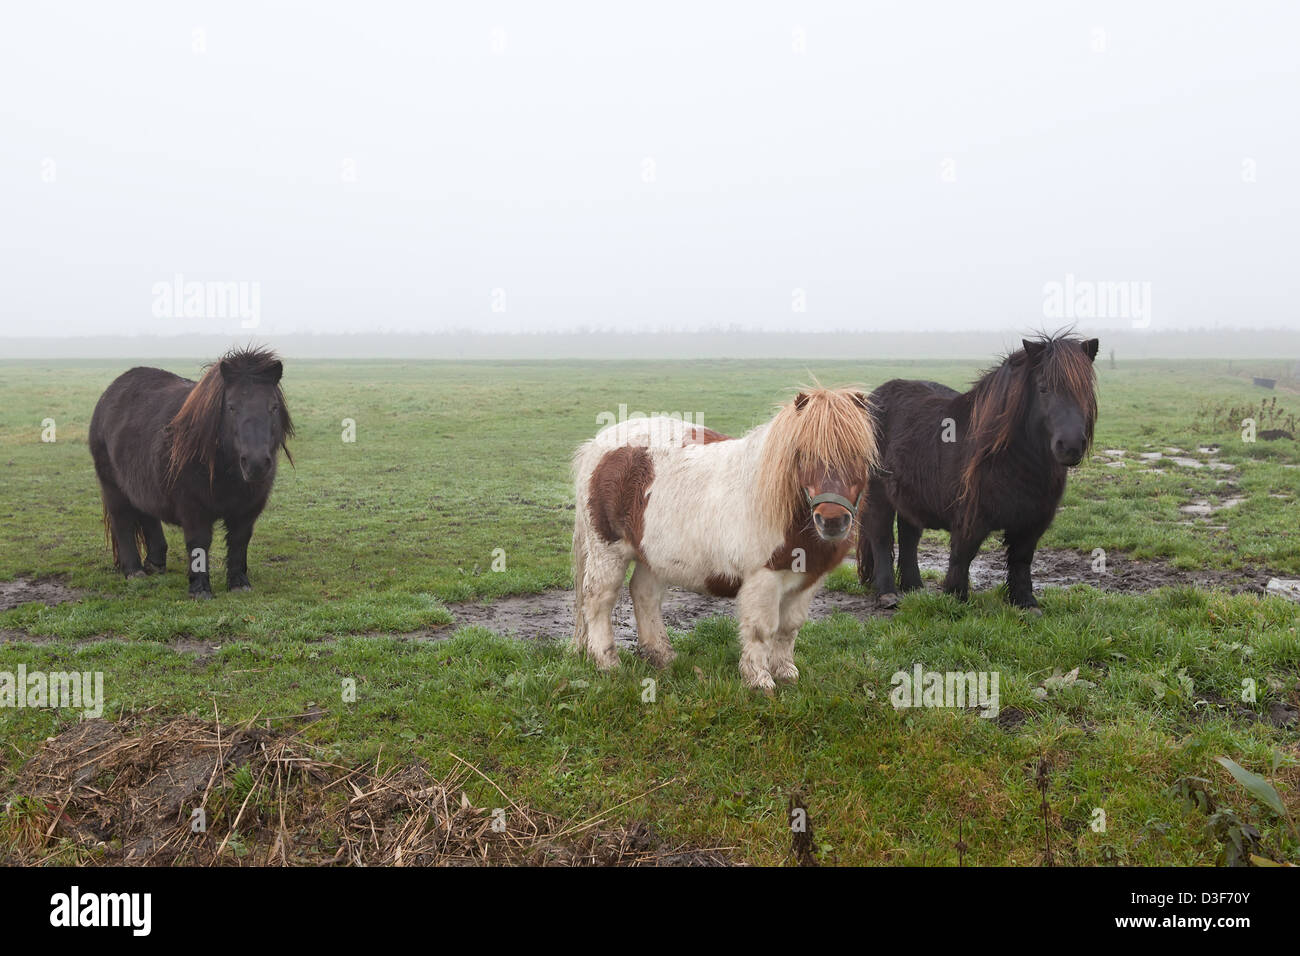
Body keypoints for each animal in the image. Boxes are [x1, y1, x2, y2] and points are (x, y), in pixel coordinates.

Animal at [88, 346, 294, 599]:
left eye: (273, 407)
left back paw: (155, 563)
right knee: (123, 521)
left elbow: (239, 541)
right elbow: (199, 543)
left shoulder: (247, 509)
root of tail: (110, 392)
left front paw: (239, 584)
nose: (256, 464)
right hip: (113, 487)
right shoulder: (193, 508)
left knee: (147, 514)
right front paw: (200, 590)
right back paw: (134, 571)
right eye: (231, 407)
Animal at [572, 387, 877, 690]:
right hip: (607, 550)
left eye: (859, 455)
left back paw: (663, 656)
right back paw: (607, 663)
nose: (832, 521)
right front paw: (759, 680)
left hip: (652, 555)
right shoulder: (763, 578)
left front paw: (786, 672)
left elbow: (789, 627)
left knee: (644, 595)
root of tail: (598, 445)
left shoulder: (807, 580)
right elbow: (761, 629)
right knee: (599, 599)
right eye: (803, 454)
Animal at [856, 334, 1098, 611]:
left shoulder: (1033, 520)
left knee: (909, 535)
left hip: (909, 493)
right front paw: (956, 598)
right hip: (878, 493)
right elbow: (963, 555)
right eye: (1043, 388)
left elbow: (1022, 559)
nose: (1070, 446)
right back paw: (888, 593)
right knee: (880, 535)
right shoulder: (970, 515)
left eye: (1085, 391)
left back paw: (914, 586)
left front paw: (1025, 601)